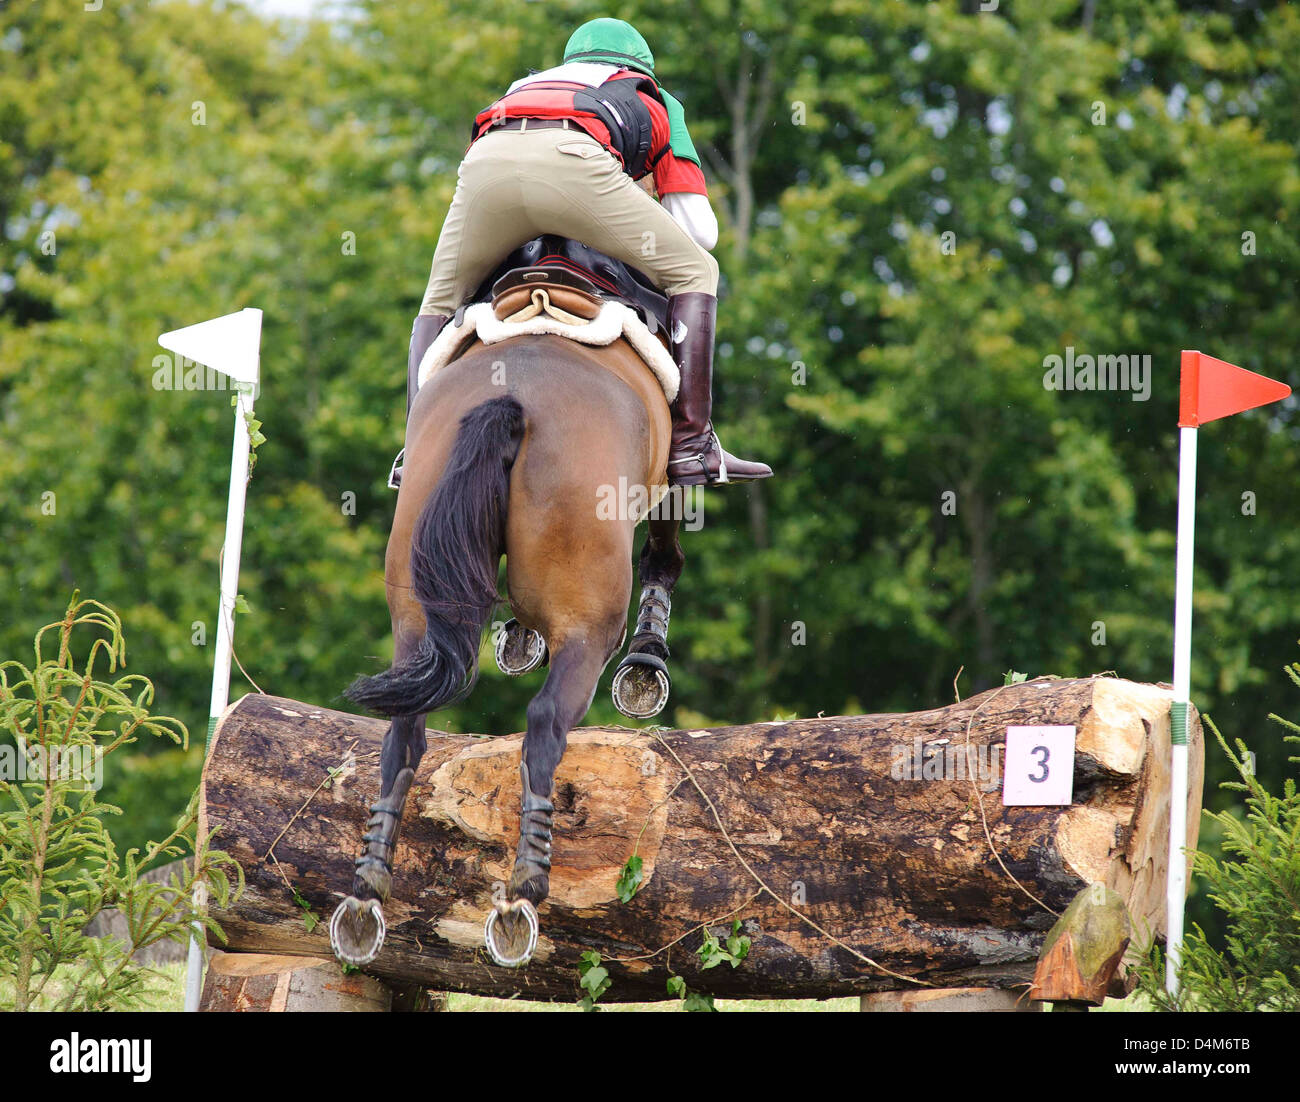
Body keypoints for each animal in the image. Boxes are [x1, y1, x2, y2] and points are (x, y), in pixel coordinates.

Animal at [328, 311, 686, 967]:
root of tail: (510, 397)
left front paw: (519, 638)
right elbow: (669, 537)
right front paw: (647, 661)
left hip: (415, 596)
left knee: (404, 732)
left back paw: (367, 892)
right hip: (589, 619)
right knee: (546, 719)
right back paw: (525, 889)